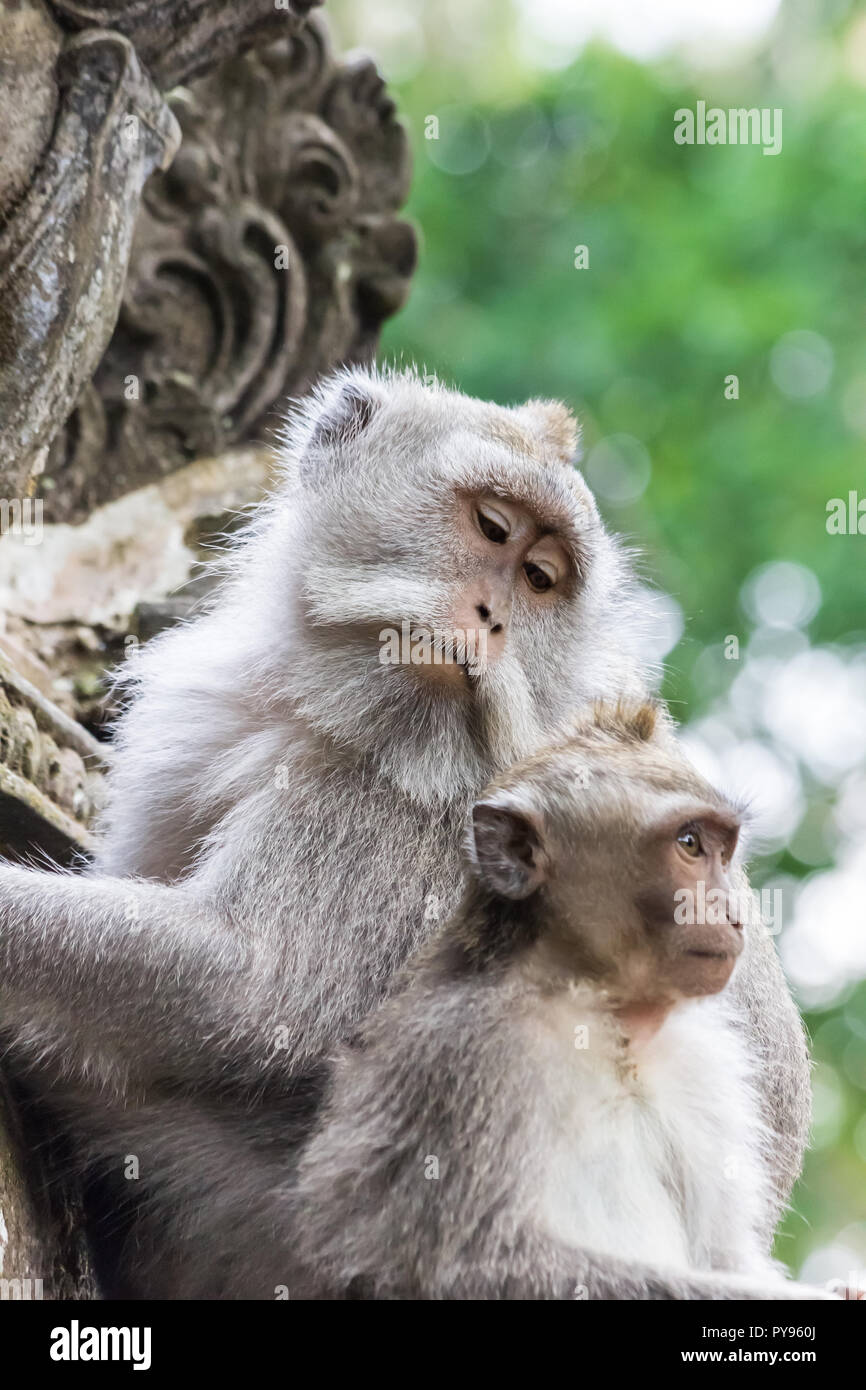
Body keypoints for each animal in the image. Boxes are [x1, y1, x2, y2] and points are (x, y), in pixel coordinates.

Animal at [288, 702, 835, 1301]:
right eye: (690, 844)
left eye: (722, 849)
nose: (733, 914)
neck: (601, 1015)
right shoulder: (462, 1058)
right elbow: (463, 1267)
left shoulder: (701, 1063)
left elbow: (724, 1251)